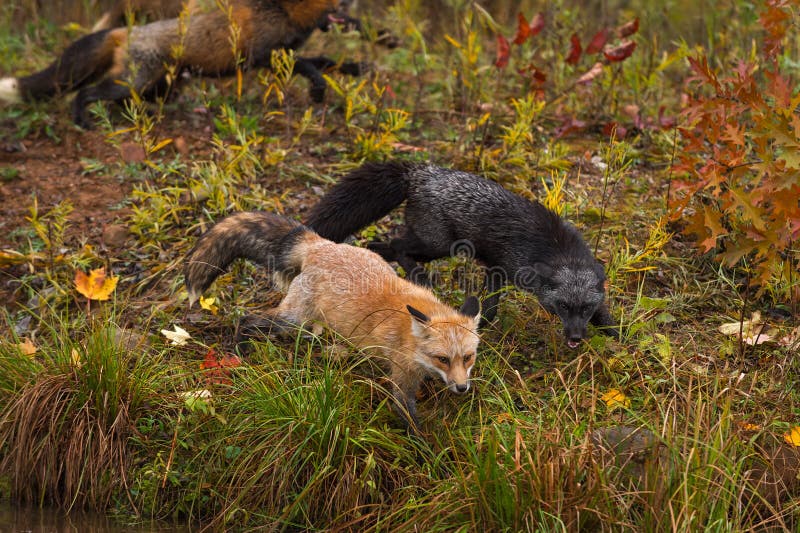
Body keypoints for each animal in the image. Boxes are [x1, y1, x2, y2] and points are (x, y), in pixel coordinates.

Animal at [0, 0, 366, 128]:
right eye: (340, 4)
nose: (358, 18)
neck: (281, 11)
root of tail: (124, 31)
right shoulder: (266, 56)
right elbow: (314, 68)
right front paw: (319, 90)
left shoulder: (283, 54)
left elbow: (325, 61)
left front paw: (355, 68)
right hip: (134, 82)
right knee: (86, 93)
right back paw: (83, 121)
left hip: (158, 85)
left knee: (130, 101)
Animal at [183, 211, 481, 433]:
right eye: (443, 358)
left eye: (467, 357)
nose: (462, 388)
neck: (409, 334)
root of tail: (321, 244)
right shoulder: (401, 378)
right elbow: (410, 421)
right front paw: (426, 455)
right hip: (290, 320)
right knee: (246, 318)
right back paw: (240, 347)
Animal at [305, 161, 619, 348]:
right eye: (563, 307)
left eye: (585, 309)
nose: (576, 338)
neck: (558, 250)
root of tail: (421, 172)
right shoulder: (501, 267)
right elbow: (490, 307)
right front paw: (484, 327)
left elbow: (606, 316)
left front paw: (619, 339)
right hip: (439, 245)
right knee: (397, 245)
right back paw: (419, 278)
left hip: (430, 244)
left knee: (383, 246)